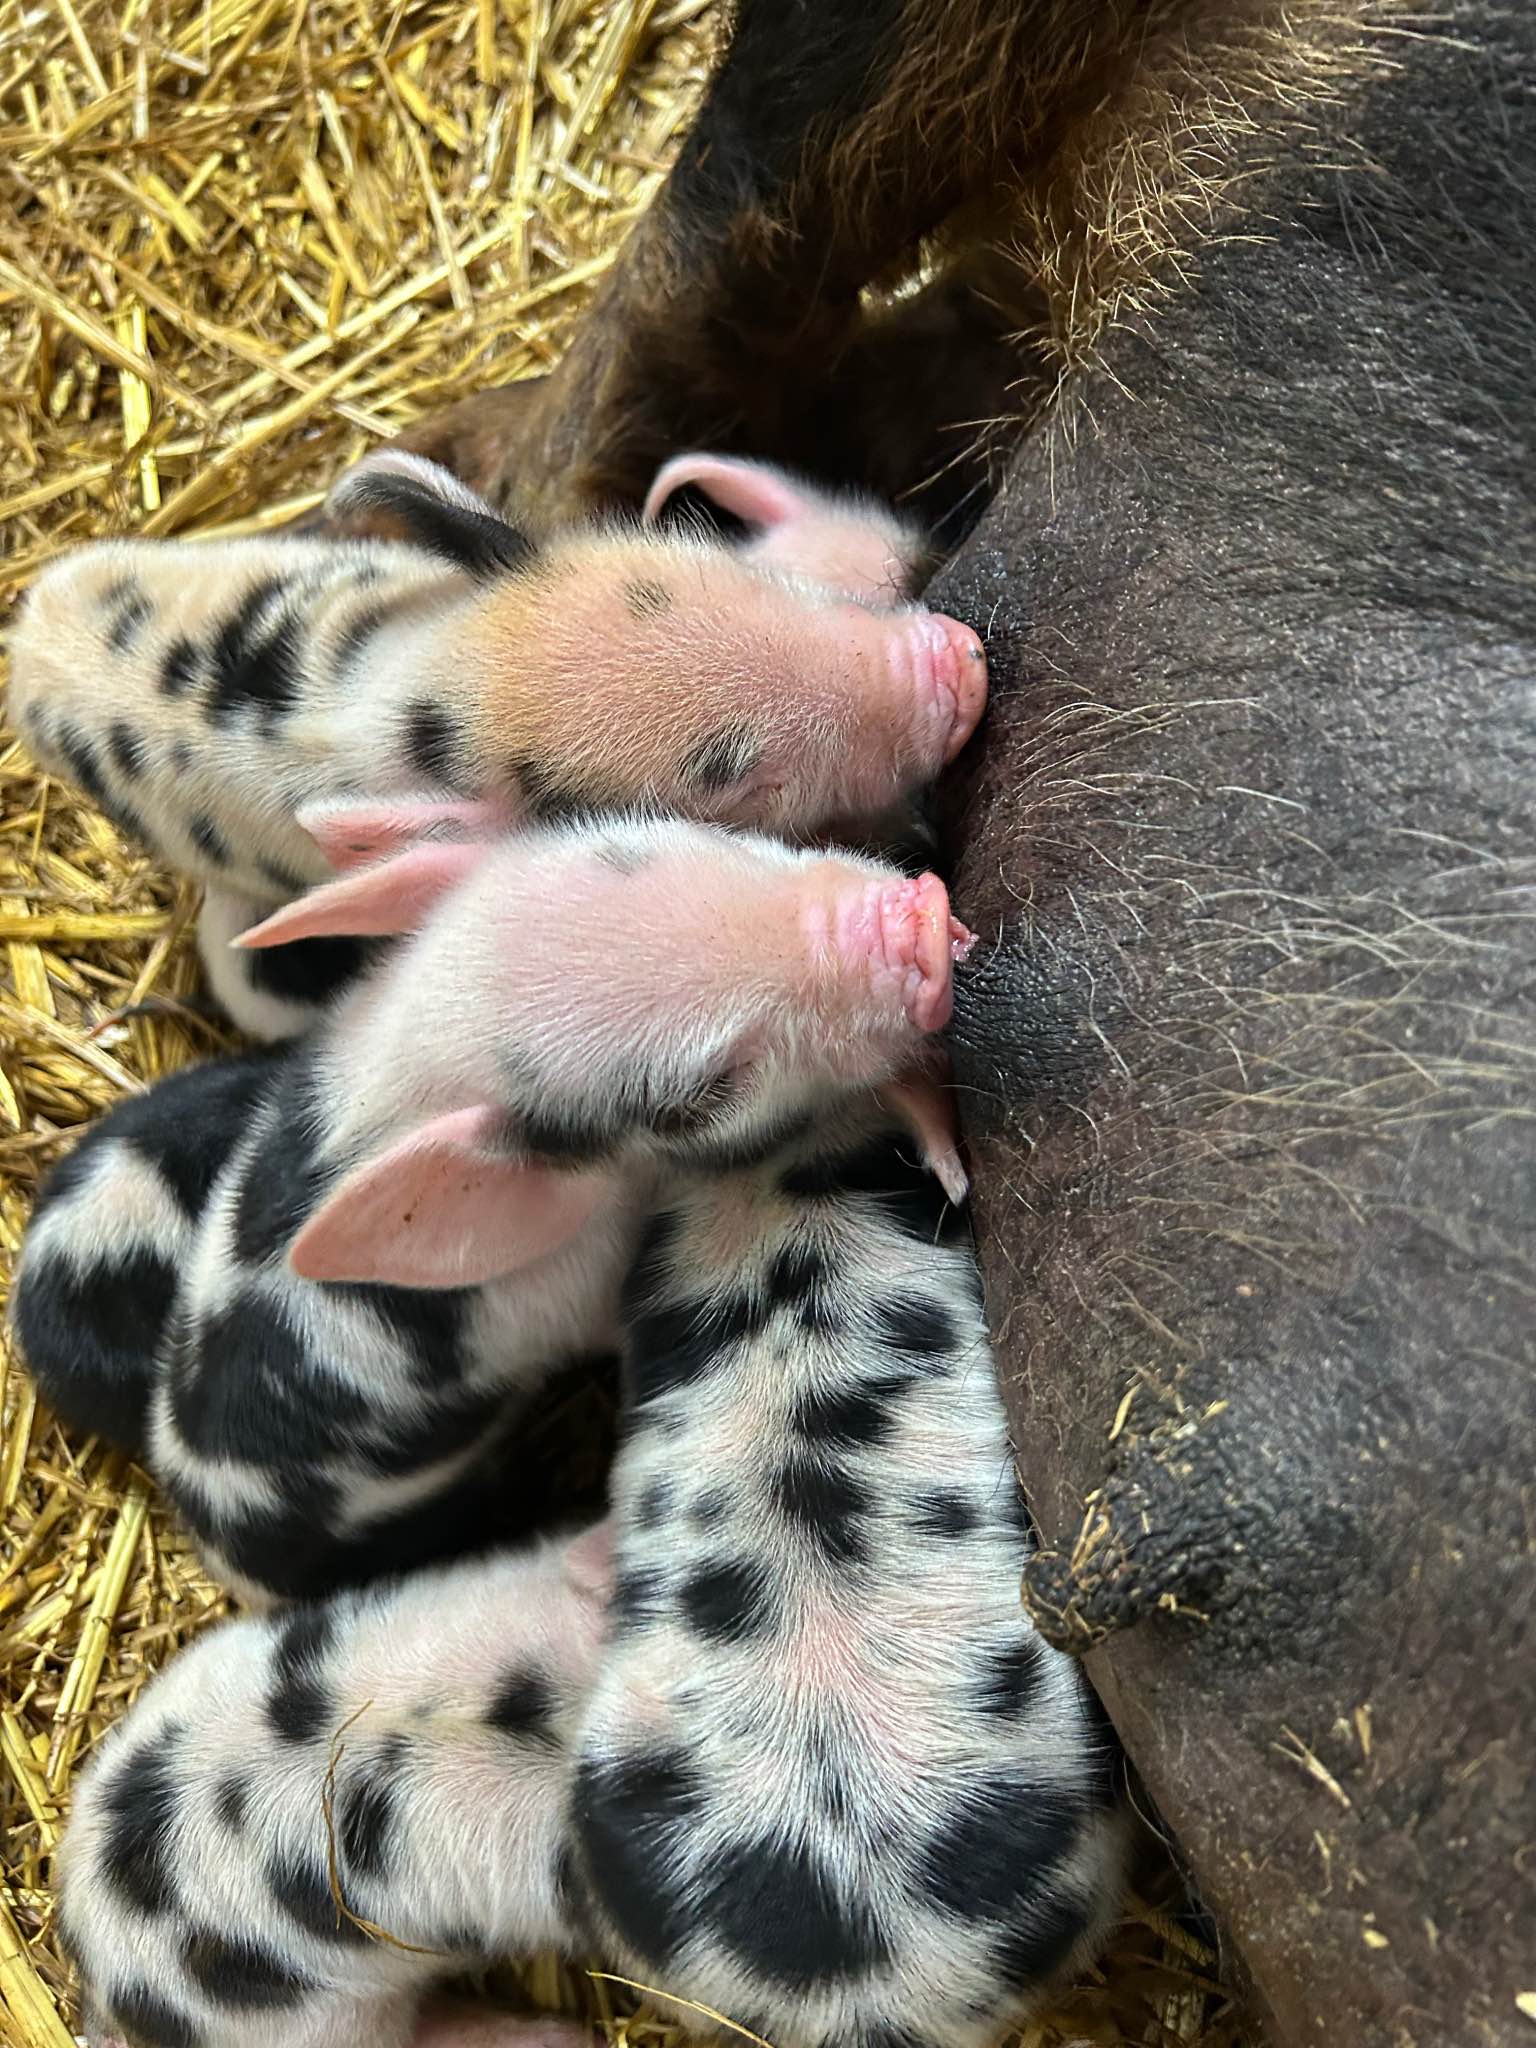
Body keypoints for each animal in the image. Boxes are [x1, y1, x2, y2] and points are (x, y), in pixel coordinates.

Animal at [12, 814, 969, 1602]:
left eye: (681, 833)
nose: (920, 917)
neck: (428, 1062)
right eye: (700, 1098)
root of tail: (209, 1534)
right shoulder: (582, 1289)